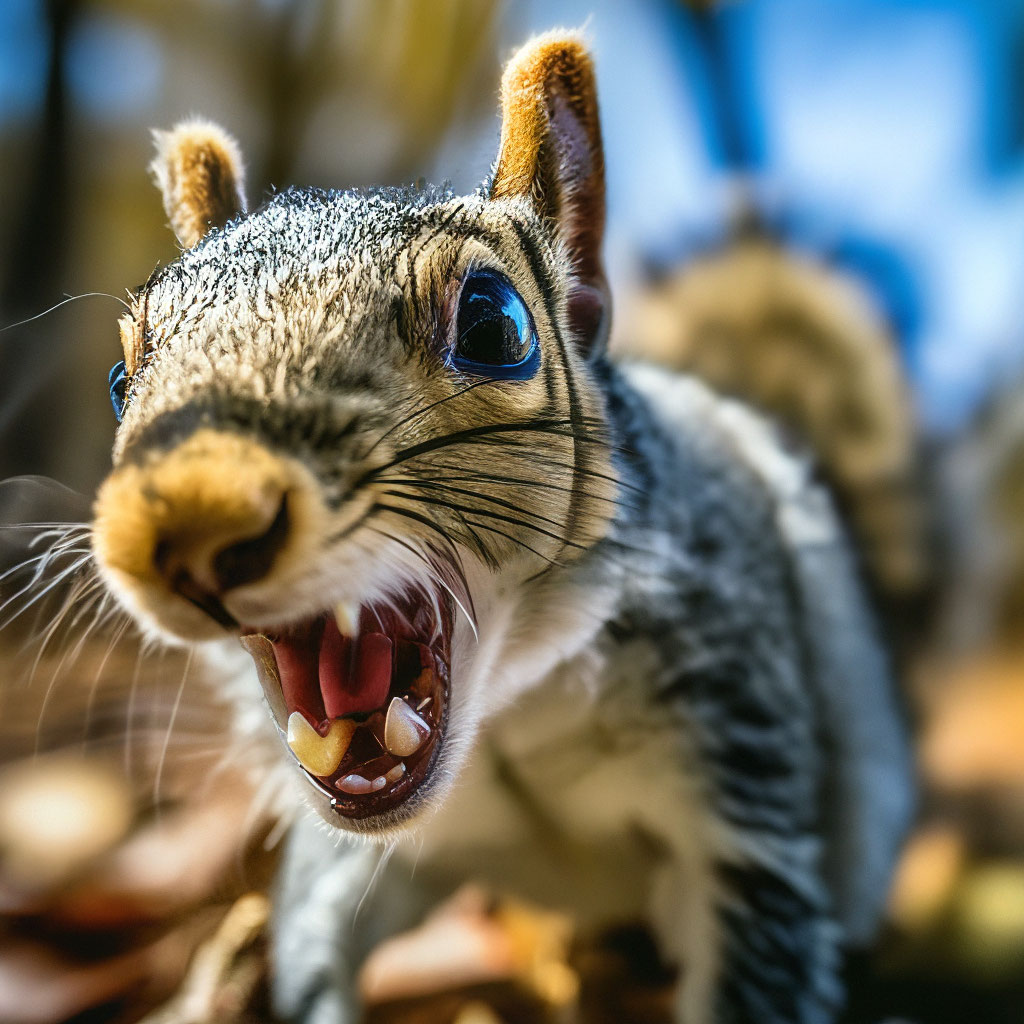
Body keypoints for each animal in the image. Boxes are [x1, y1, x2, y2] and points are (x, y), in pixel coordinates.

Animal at [89, 32, 913, 1024]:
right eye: (119, 381)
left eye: (494, 323)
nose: (191, 517)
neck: (507, 708)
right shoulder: (349, 853)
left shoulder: (743, 788)